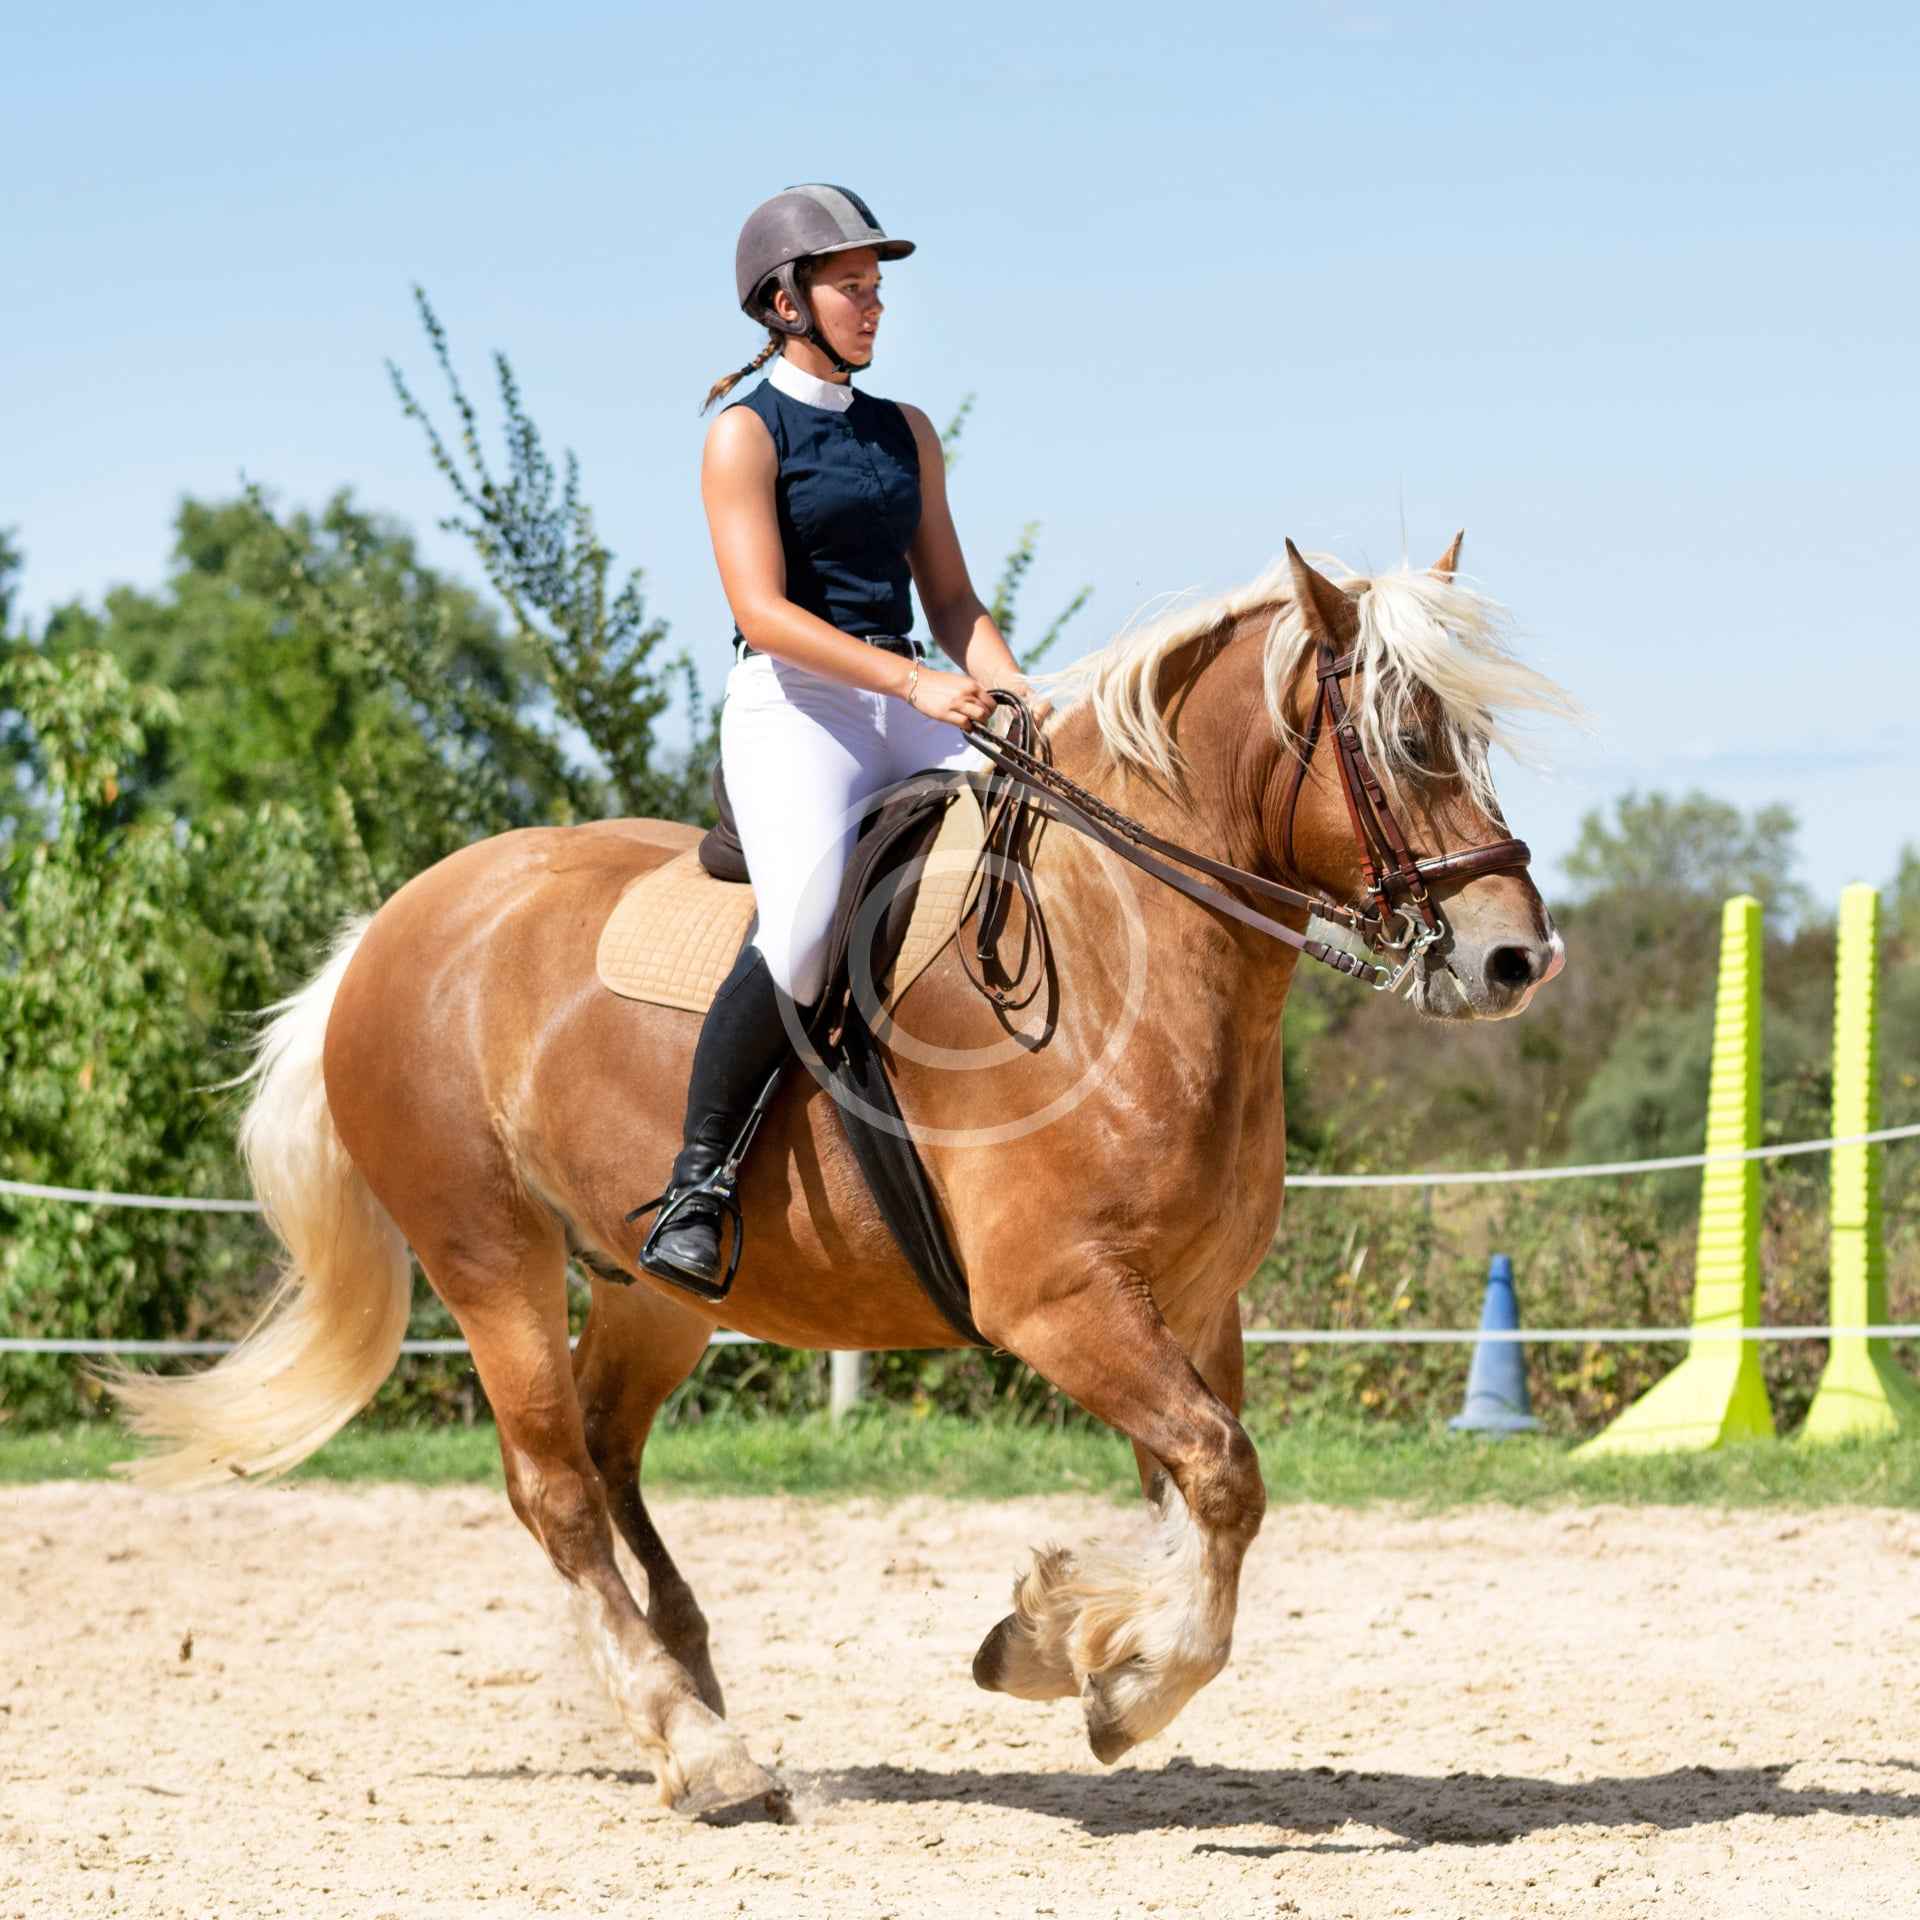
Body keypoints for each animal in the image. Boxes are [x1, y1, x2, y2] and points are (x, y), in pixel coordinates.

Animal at [108, 539, 1576, 1818]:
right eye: (1401, 741)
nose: (1516, 959)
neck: (1122, 948)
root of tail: (391, 928)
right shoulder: (1063, 1303)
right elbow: (1222, 1480)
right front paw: (1124, 1683)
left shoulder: (1196, 1306)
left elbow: (1196, 1500)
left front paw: (1058, 1637)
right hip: (490, 1259)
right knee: (555, 1487)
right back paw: (699, 1751)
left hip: (652, 1288)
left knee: (605, 1446)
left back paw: (687, 1683)